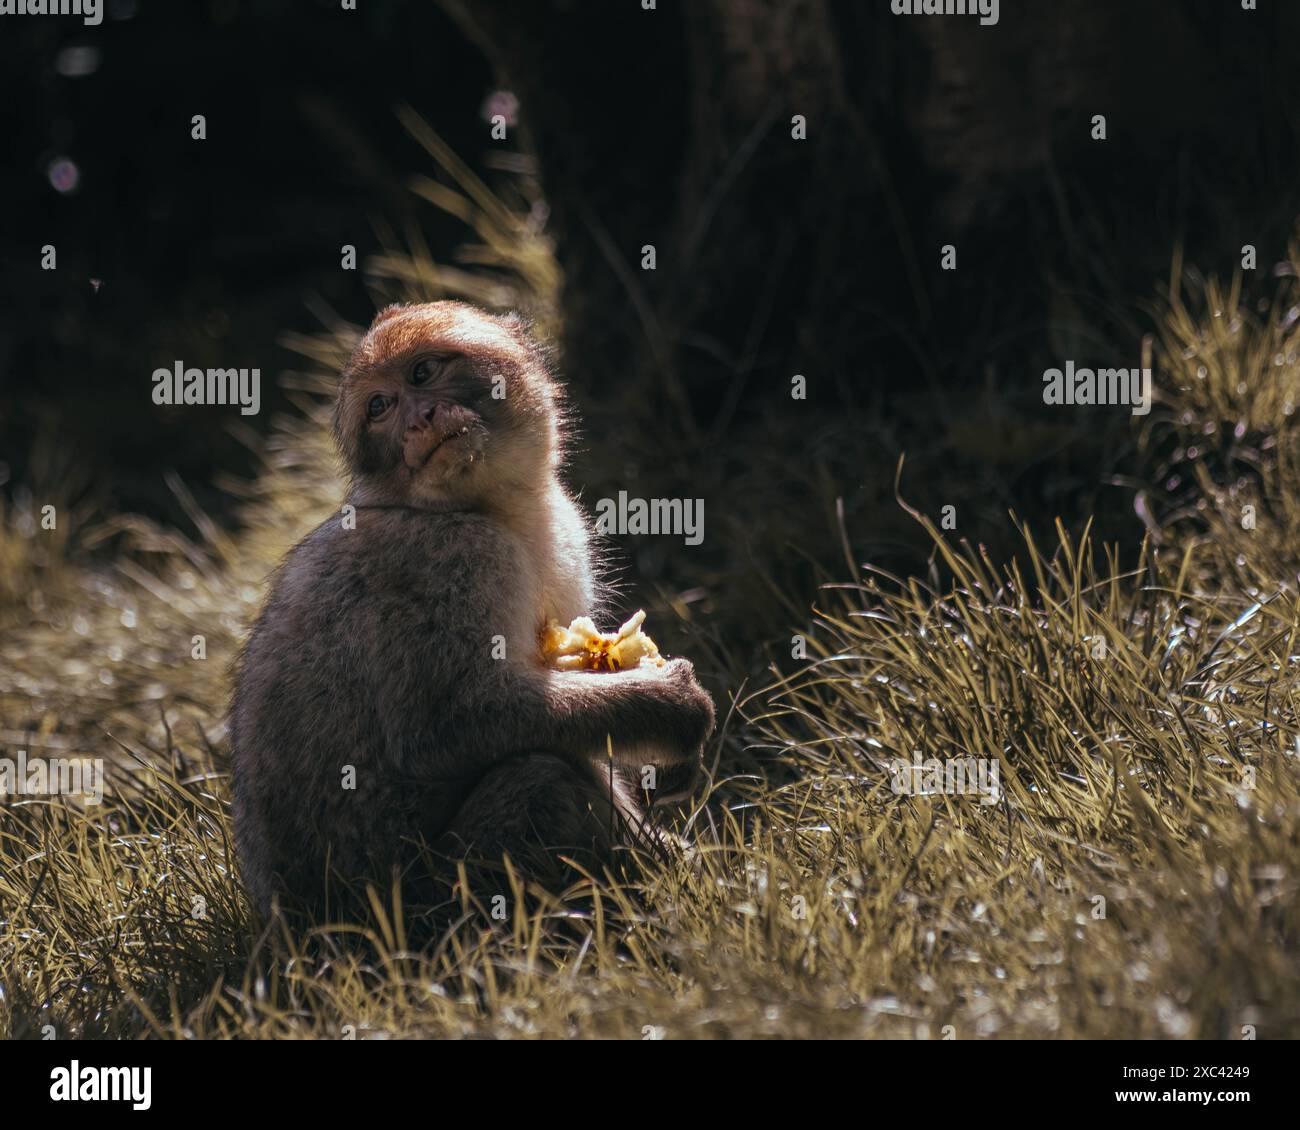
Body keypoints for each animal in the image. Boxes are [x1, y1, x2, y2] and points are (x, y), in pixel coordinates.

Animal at [230, 301, 715, 920]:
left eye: (422, 373)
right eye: (380, 408)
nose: (420, 419)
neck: (486, 507)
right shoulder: (448, 560)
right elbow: (445, 726)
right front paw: (670, 709)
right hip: (434, 902)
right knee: (541, 778)